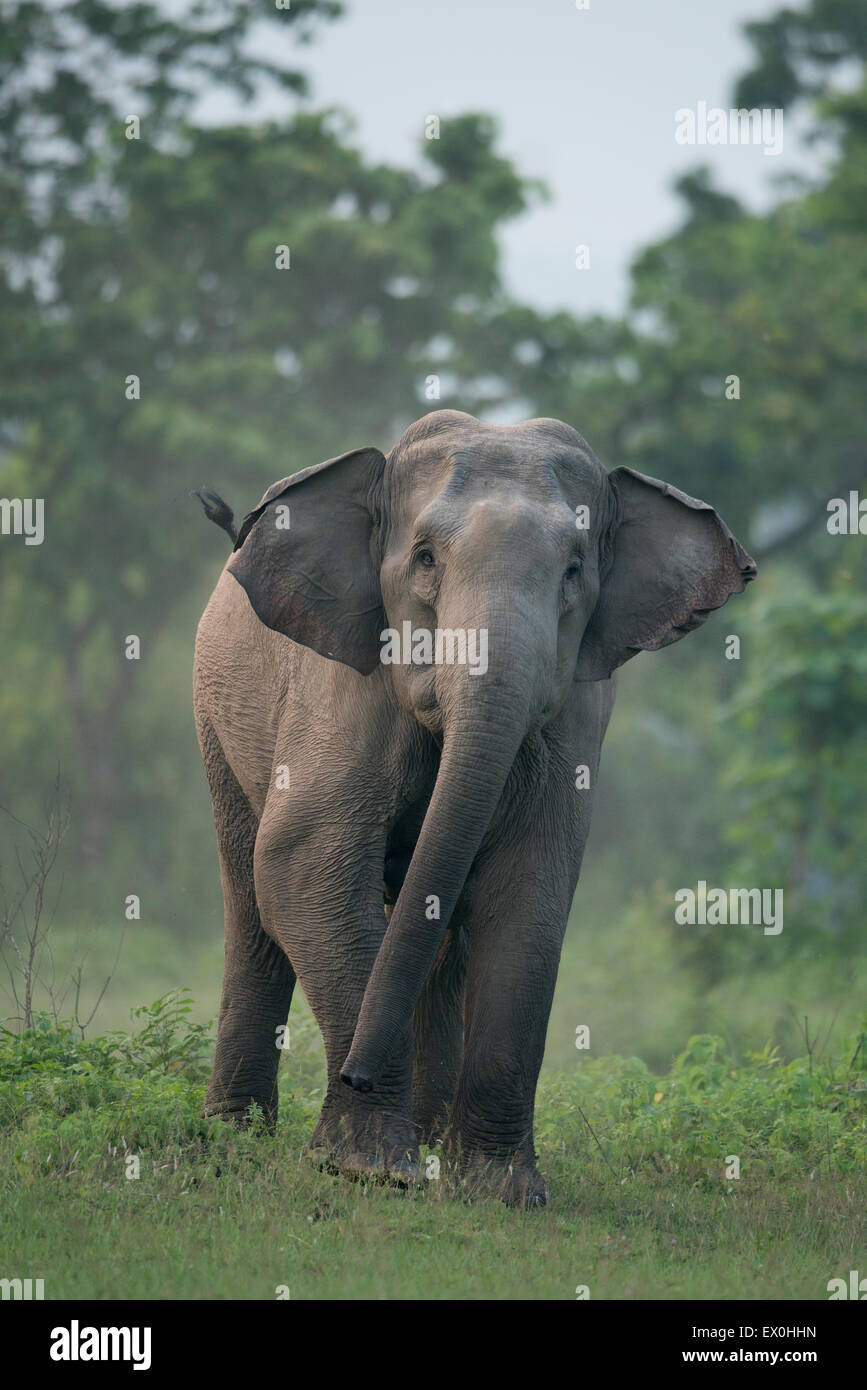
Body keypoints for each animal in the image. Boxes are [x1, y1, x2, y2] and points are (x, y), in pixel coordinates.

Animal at [193, 409, 756, 1207]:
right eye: (425, 559)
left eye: (573, 571)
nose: (354, 1072)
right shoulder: (342, 686)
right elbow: (304, 865)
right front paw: (368, 1170)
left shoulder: (574, 712)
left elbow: (527, 896)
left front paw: (497, 1193)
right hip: (217, 717)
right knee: (250, 897)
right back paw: (235, 1138)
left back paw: (427, 1140)